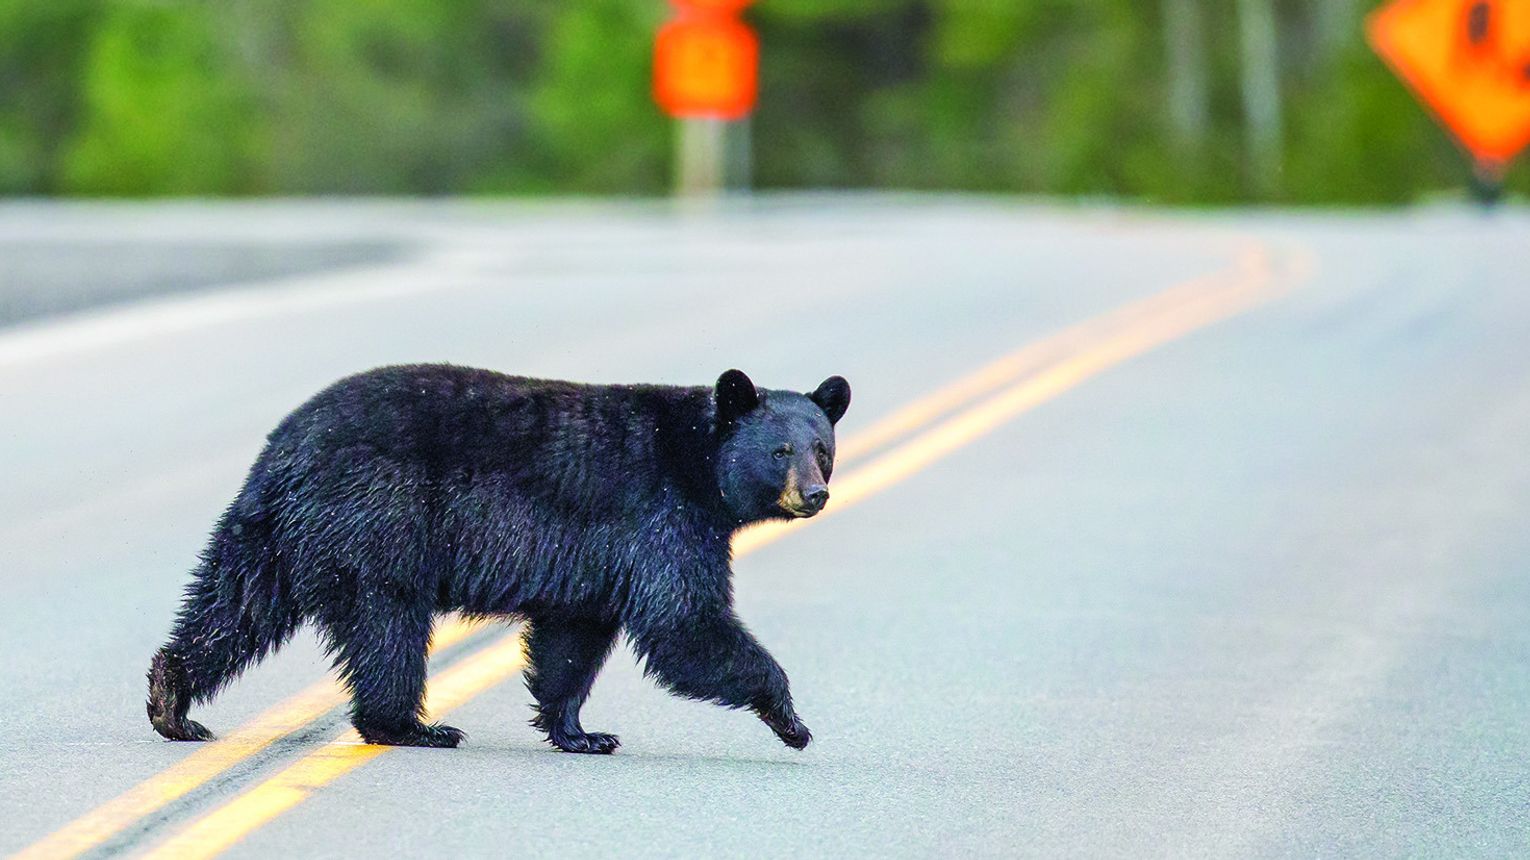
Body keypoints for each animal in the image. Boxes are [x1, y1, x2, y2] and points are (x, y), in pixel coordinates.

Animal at [146, 365, 850, 754]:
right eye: (781, 451)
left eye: (823, 448)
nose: (815, 493)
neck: (695, 460)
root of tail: (283, 450)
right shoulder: (661, 514)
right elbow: (683, 624)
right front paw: (792, 721)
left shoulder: (597, 557)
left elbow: (573, 638)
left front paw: (581, 733)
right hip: (379, 520)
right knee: (387, 626)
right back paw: (413, 727)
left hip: (272, 534)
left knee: (234, 606)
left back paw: (171, 701)